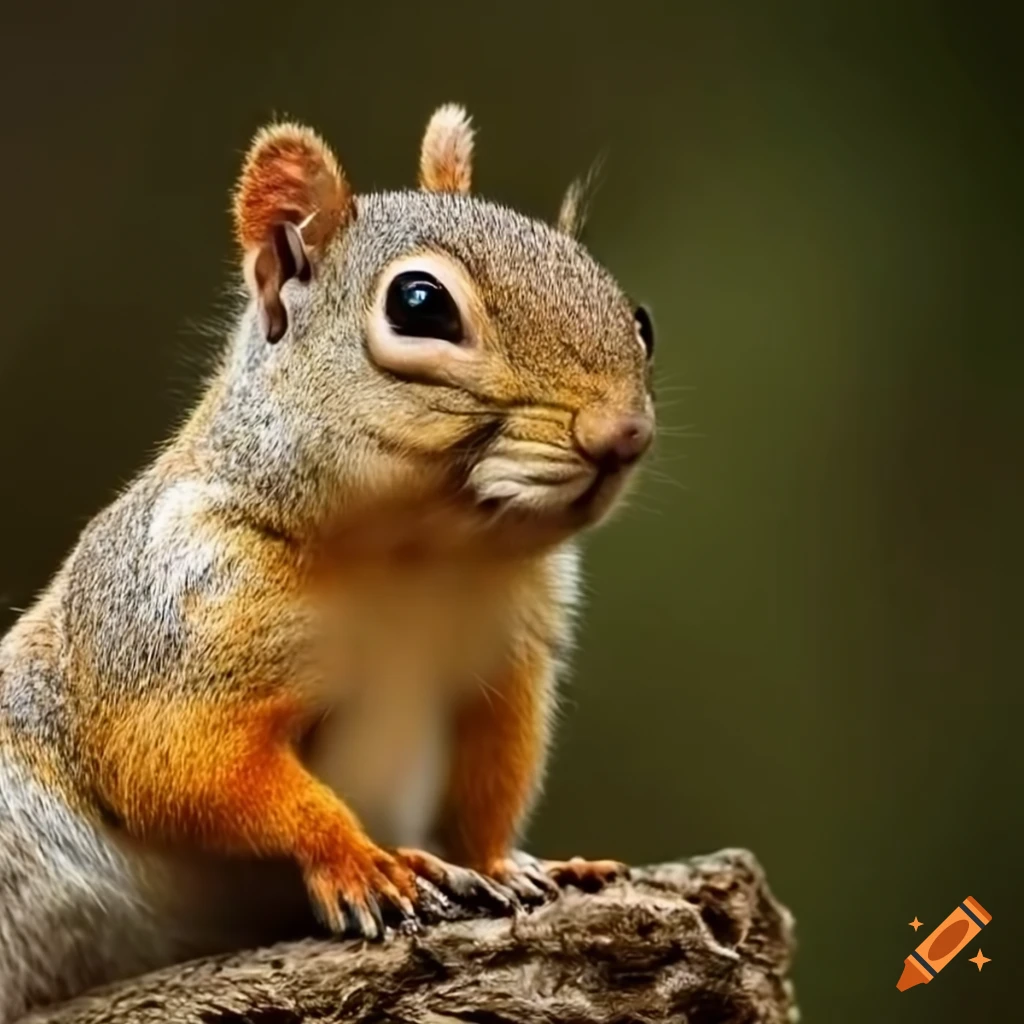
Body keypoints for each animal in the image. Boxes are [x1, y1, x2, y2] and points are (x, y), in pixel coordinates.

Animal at [0, 103, 656, 1021]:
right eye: (420, 304)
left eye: (641, 320)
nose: (623, 434)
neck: (420, 555)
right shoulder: (175, 617)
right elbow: (180, 762)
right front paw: (366, 862)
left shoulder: (506, 663)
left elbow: (489, 785)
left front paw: (509, 865)